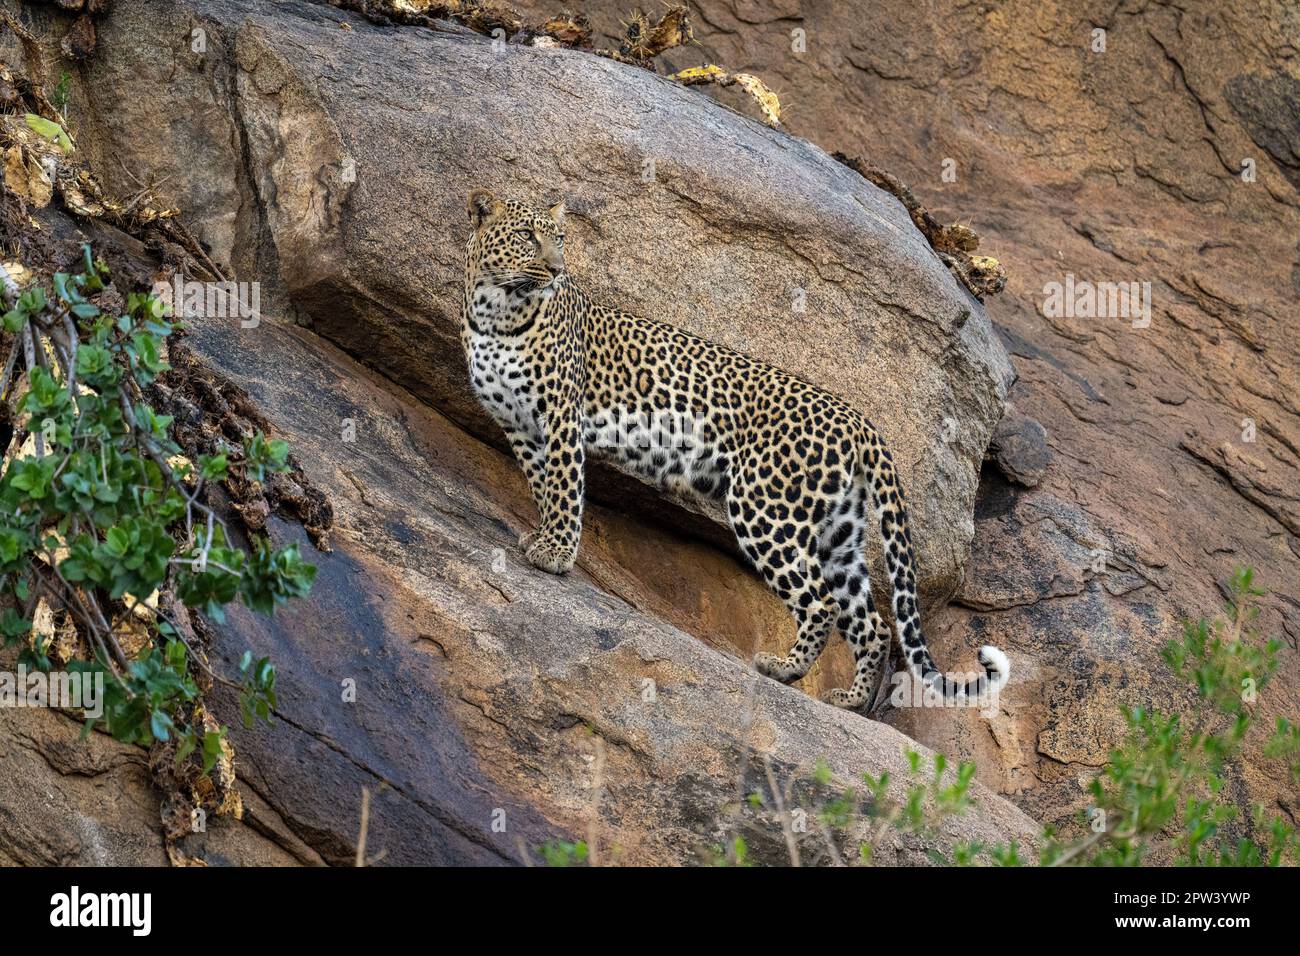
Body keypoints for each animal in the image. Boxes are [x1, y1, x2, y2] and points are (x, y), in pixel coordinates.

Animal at [461, 189, 1009, 710]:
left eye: (558, 239)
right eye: (528, 237)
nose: (556, 269)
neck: (495, 311)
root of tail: (860, 422)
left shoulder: (560, 418)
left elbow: (564, 488)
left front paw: (555, 554)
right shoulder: (518, 426)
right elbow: (542, 487)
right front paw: (543, 538)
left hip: (765, 507)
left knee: (821, 602)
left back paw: (783, 668)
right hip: (838, 533)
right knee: (869, 621)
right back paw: (851, 699)